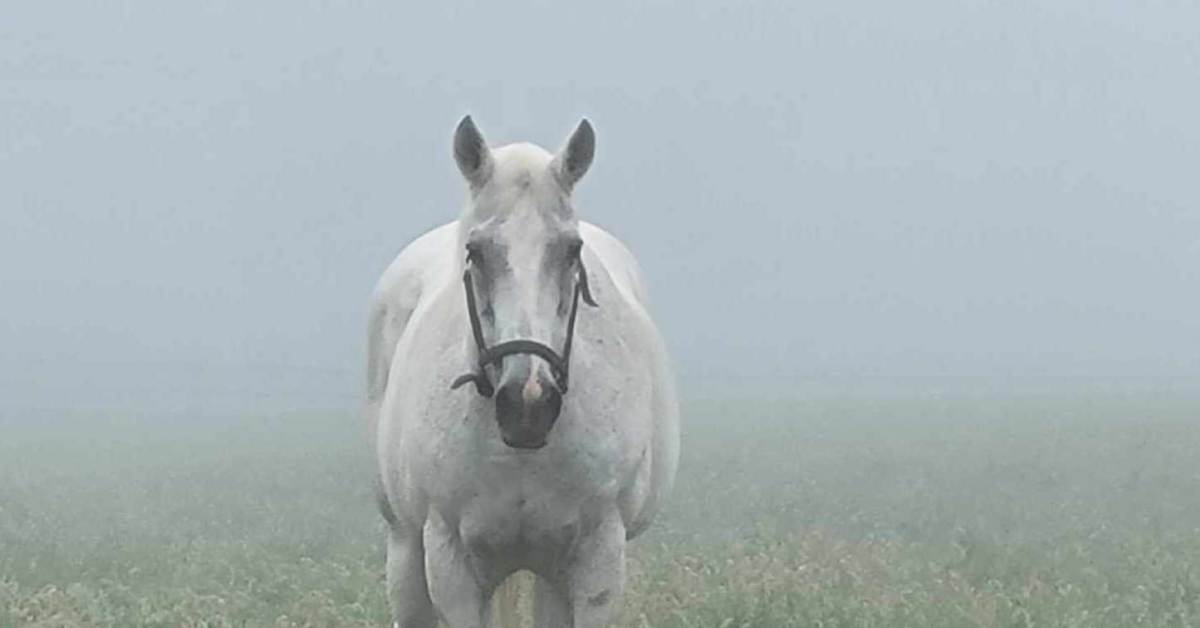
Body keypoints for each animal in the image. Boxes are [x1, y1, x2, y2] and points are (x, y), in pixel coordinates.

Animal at [366, 116, 679, 627]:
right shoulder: (450, 564)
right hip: (406, 552)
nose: (528, 403)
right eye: (475, 251)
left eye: (572, 249)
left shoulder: (597, 564)